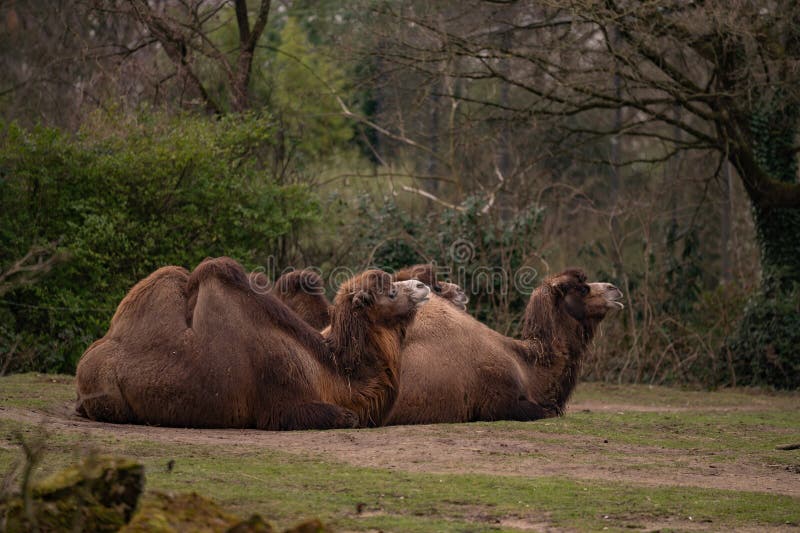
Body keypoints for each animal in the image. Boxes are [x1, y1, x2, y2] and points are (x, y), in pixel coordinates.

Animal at [75, 257, 430, 430]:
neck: (329, 372)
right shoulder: (282, 406)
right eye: (390, 292)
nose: (423, 286)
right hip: (107, 392)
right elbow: (347, 418)